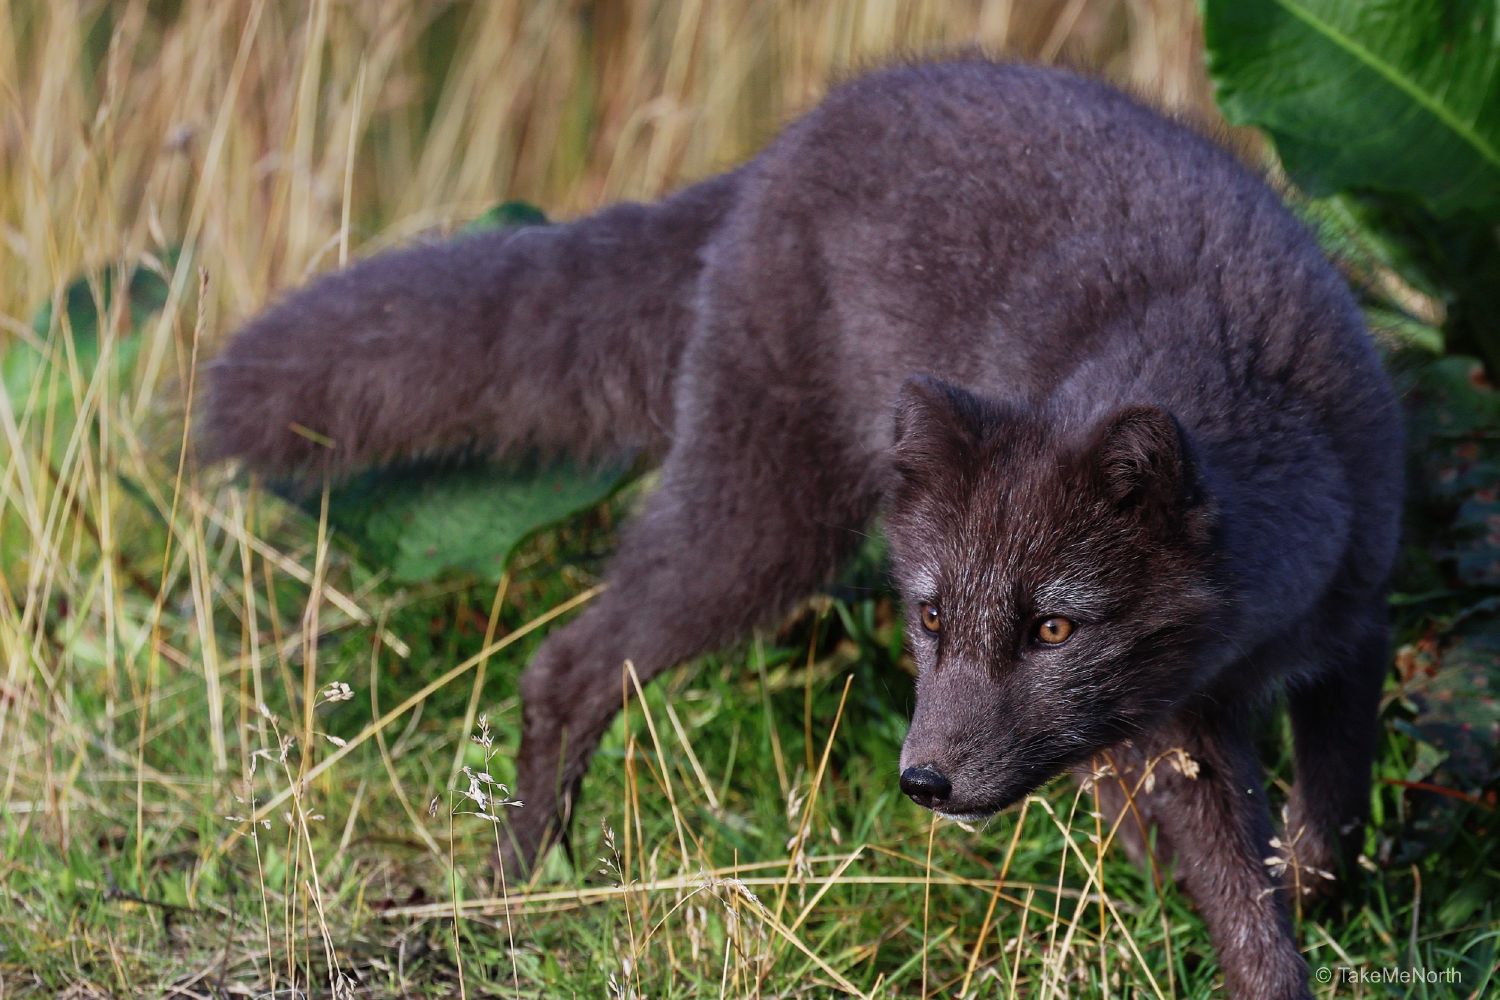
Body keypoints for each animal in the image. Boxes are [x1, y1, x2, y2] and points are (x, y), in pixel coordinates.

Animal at [205, 60, 1403, 999]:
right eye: (931, 618)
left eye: (1055, 629)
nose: (924, 783)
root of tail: (783, 148)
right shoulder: (1185, 725)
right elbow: (1247, 901)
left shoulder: (1347, 633)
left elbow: (1326, 839)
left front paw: (1296, 888)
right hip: (759, 530)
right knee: (568, 665)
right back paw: (518, 876)